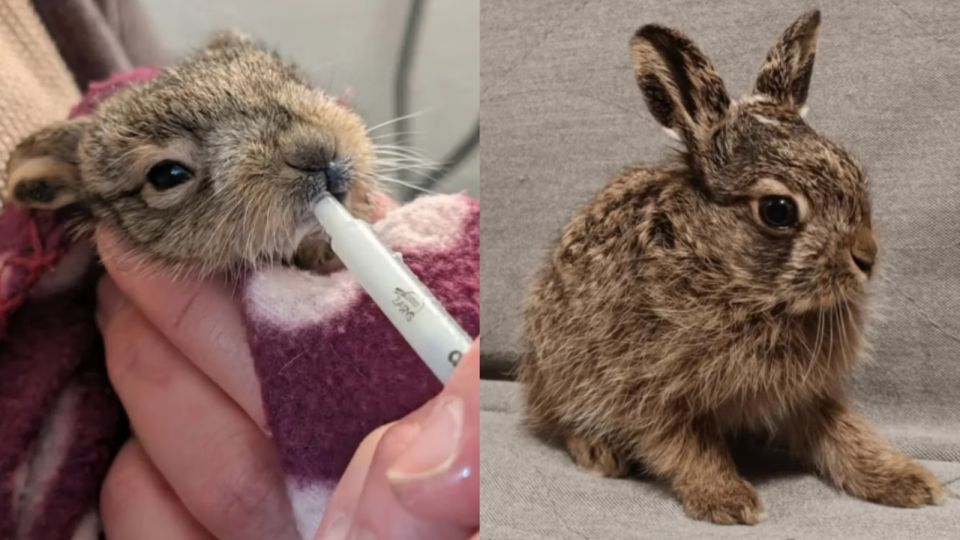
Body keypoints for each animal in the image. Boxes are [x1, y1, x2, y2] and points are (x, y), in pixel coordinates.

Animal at [519, 10, 943, 525]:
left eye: (855, 173)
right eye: (778, 210)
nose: (867, 256)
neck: (733, 277)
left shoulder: (806, 392)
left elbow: (845, 432)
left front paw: (908, 482)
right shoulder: (653, 392)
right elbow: (686, 446)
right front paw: (728, 500)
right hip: (562, 374)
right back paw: (600, 452)